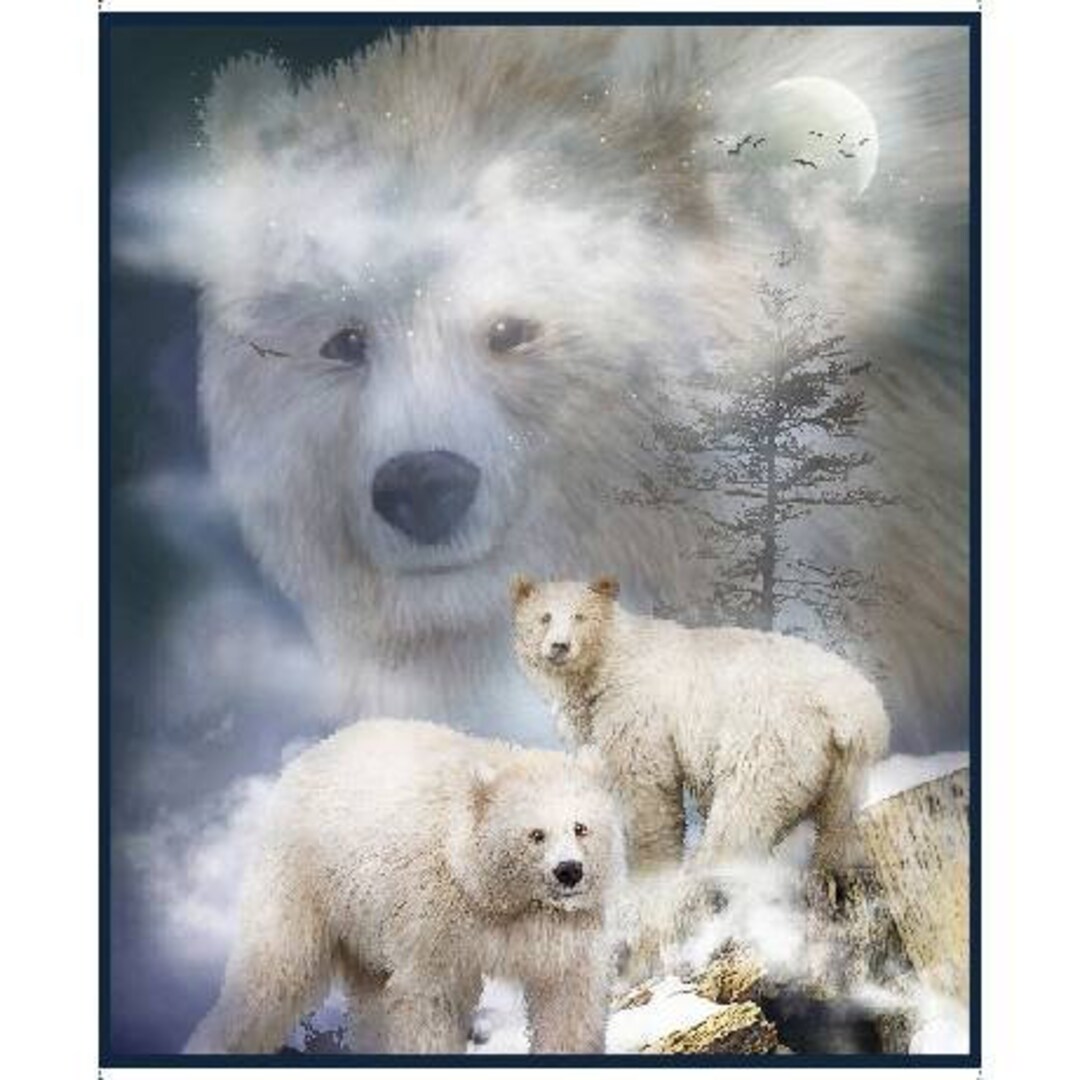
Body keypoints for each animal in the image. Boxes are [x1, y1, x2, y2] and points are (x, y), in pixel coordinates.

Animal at [184, 718, 624, 1055]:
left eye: (580, 827)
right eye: (535, 834)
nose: (569, 871)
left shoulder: (558, 928)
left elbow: (567, 994)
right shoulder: (434, 917)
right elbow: (430, 999)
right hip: (306, 879)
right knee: (274, 971)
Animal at [510, 576, 890, 877]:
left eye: (579, 616)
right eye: (544, 617)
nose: (559, 646)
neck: (605, 665)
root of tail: (854, 706)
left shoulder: (637, 710)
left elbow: (647, 788)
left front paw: (651, 870)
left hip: (772, 735)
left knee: (743, 809)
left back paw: (705, 870)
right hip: (845, 765)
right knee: (840, 823)